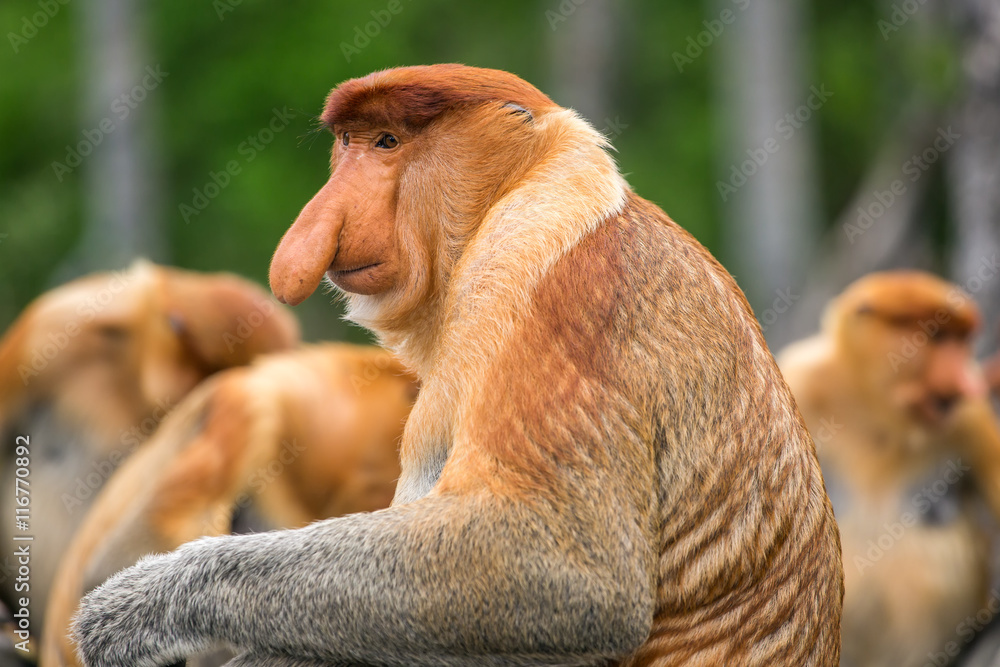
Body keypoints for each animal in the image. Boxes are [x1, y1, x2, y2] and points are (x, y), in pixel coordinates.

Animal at [776, 270, 1000, 667]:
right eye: (938, 337)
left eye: (962, 342)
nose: (965, 381)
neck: (877, 415)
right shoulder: (801, 379)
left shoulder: (969, 418)